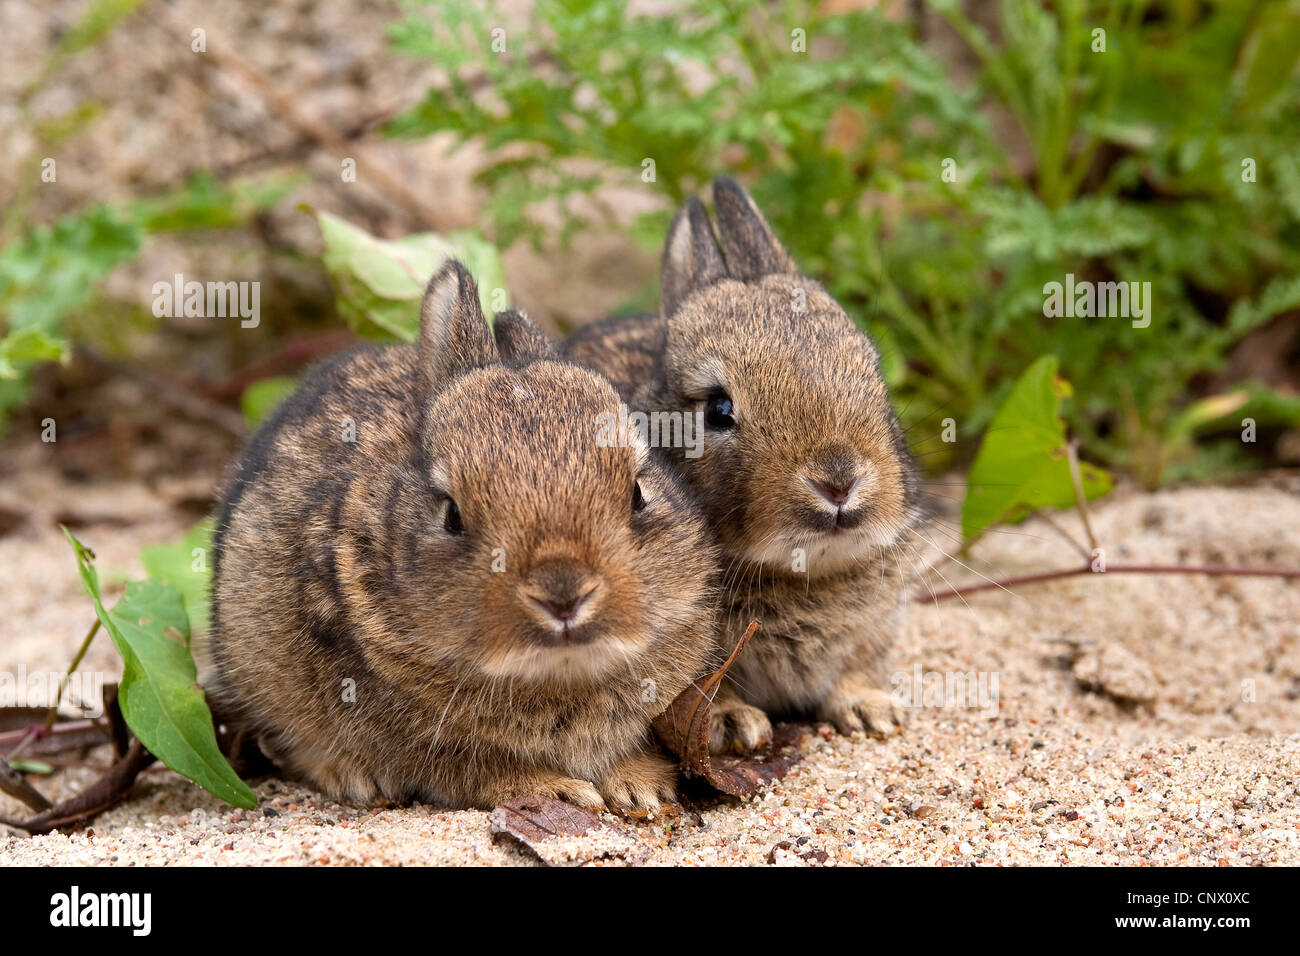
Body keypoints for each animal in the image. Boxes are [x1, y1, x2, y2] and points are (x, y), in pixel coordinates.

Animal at [207, 260, 720, 811]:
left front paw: (639, 785)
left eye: (638, 492)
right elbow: (477, 770)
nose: (563, 594)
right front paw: (560, 790)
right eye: (451, 515)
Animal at [564, 177, 922, 755]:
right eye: (718, 408)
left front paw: (870, 709)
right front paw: (731, 724)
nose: (839, 481)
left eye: (874, 377)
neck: (799, 575)